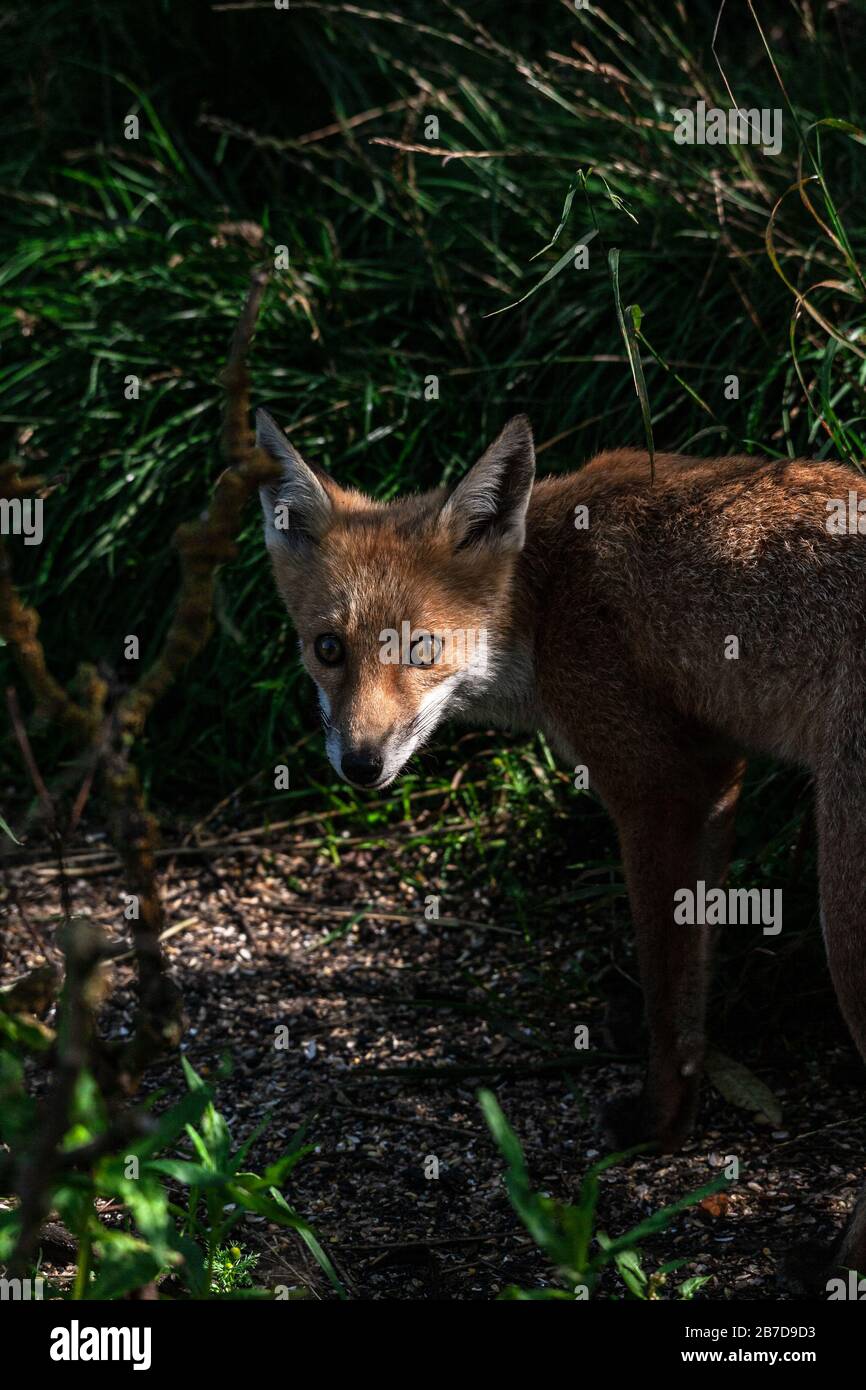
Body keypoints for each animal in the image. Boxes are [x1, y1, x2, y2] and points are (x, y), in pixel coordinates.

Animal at [256, 405, 866, 1278]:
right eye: (327, 648)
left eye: (421, 649)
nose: (360, 766)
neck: (546, 595)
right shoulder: (717, 779)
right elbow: (695, 984)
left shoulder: (663, 785)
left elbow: (667, 1000)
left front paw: (657, 1129)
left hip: (843, 911)